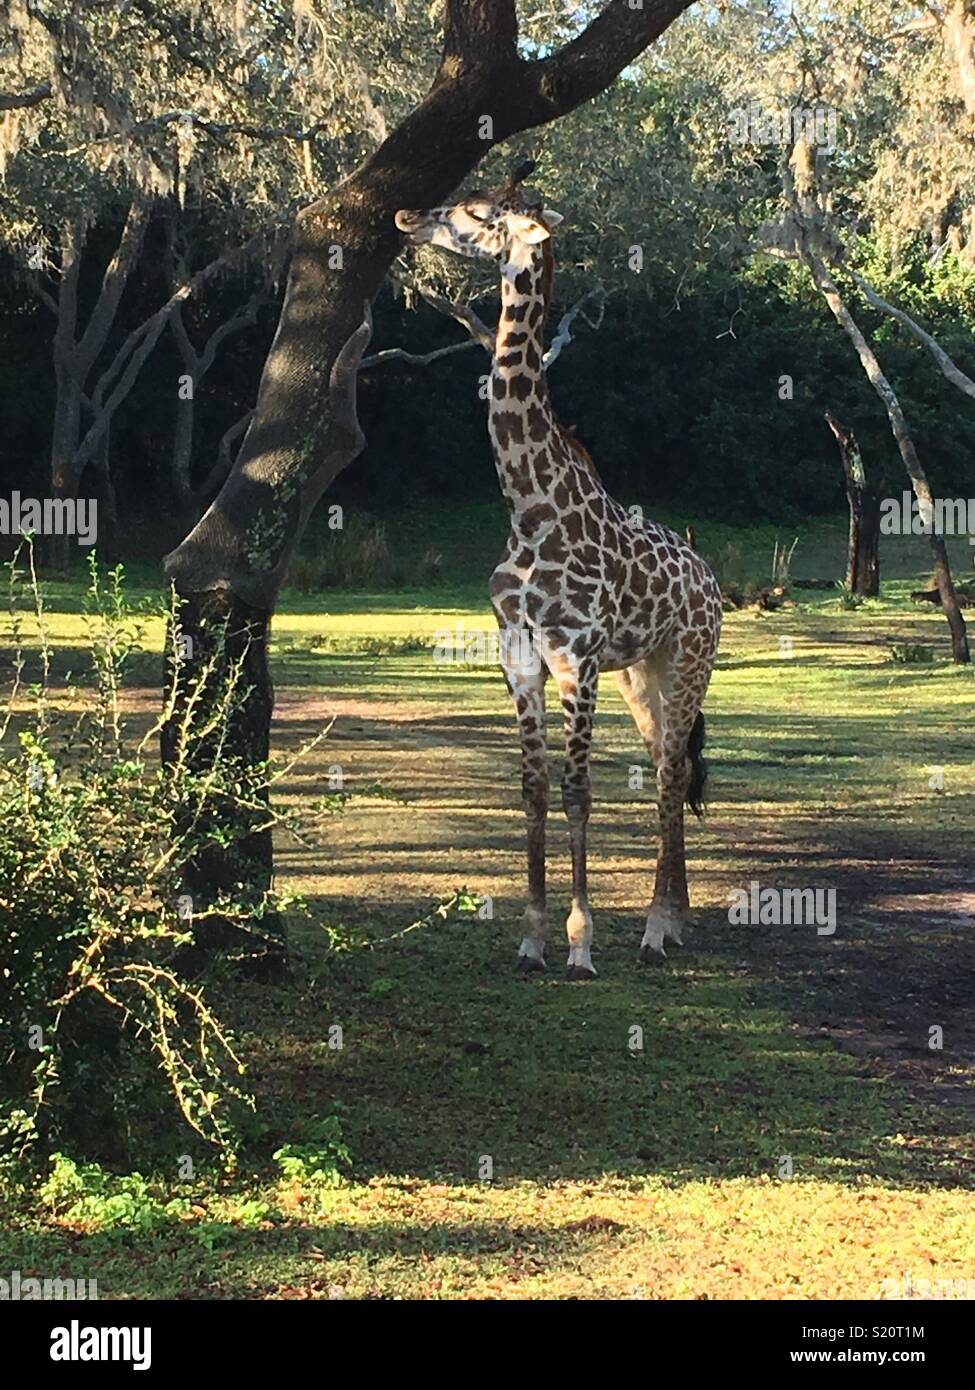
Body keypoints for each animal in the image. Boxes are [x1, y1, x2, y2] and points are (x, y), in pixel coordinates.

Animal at [395, 167, 722, 979]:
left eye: (478, 211)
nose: (407, 214)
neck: (527, 505)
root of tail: (708, 578)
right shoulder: (519, 656)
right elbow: (534, 791)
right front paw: (532, 938)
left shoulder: (576, 657)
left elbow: (577, 791)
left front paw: (580, 943)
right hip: (643, 673)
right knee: (667, 767)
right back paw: (675, 921)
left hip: (690, 661)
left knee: (671, 772)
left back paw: (656, 929)